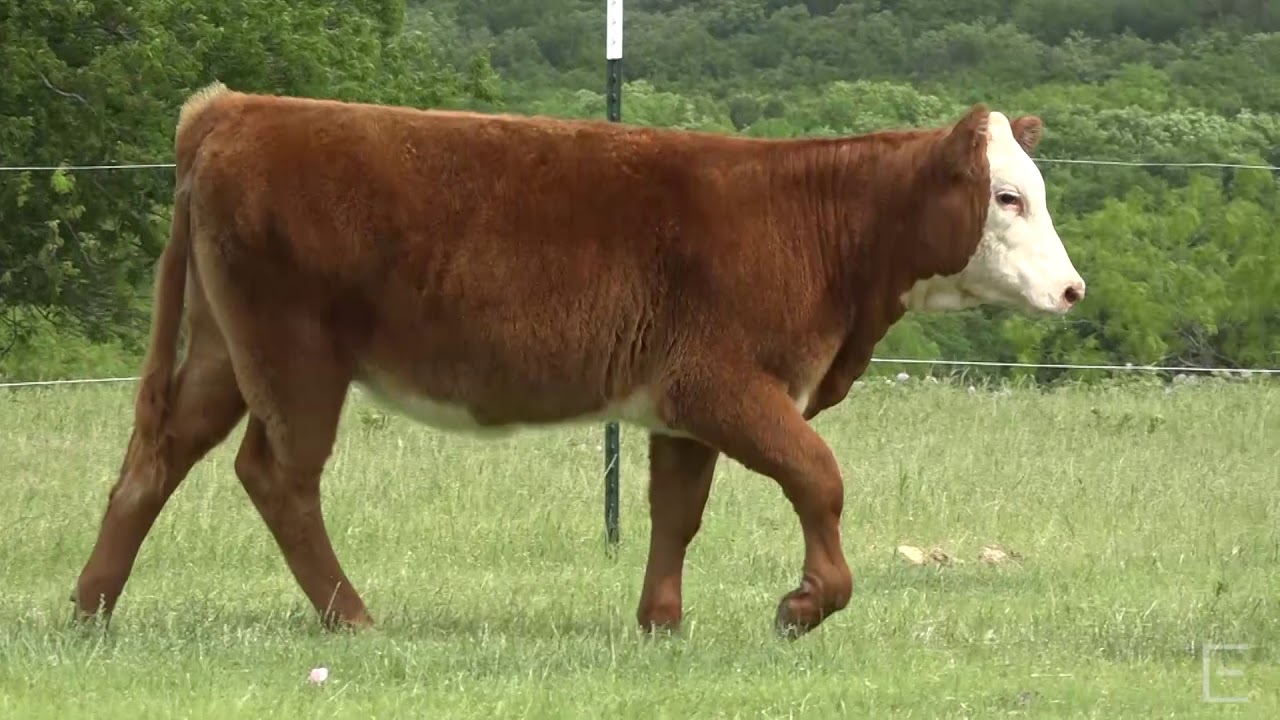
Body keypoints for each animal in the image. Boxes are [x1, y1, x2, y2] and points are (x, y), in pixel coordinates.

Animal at [71, 82, 1085, 639]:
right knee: (277, 476)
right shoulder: (726, 382)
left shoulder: (681, 405)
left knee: (157, 459)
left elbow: (677, 512)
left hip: (223, 350)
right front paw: (803, 605)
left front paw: (660, 625)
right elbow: (818, 476)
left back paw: (89, 611)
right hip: (293, 353)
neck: (822, 227)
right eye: (1007, 197)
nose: (1073, 291)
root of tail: (234, 109)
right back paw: (351, 618)